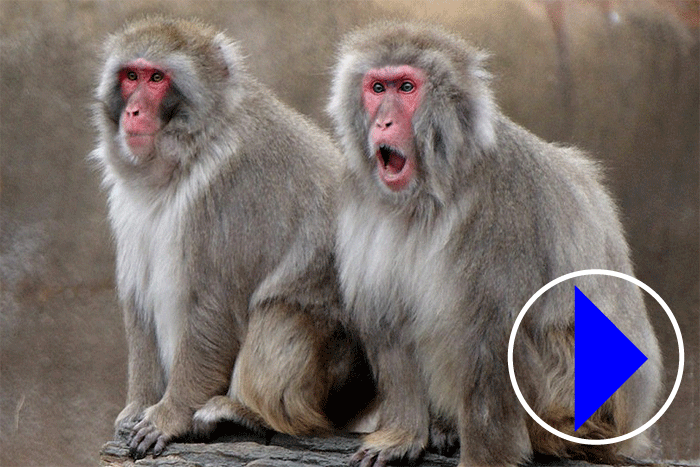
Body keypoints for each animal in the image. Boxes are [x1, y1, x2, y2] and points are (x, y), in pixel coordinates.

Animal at [92, 17, 372, 459]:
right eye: (131, 76)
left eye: (157, 78)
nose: (133, 111)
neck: (195, 146)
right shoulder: (129, 203)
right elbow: (138, 300)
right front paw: (137, 405)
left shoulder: (229, 190)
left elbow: (211, 301)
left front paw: (170, 415)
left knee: (280, 313)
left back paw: (241, 412)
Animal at [327, 22, 663, 467]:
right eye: (377, 88)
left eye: (406, 87)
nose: (382, 123)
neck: (429, 193)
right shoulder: (363, 206)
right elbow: (388, 315)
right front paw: (401, 435)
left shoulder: (499, 213)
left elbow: (492, 333)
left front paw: (483, 458)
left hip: (567, 403)